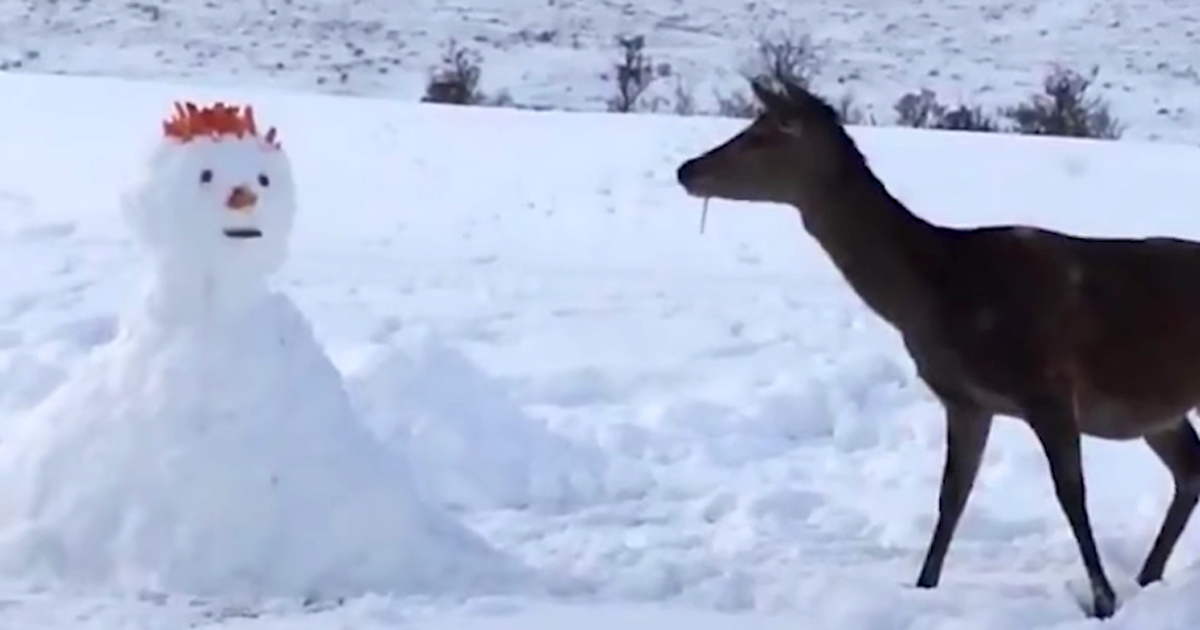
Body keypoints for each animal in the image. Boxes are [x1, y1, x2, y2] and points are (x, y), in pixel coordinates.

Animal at [675, 77, 1200, 620]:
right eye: (750, 126)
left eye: (764, 134)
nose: (686, 169)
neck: (938, 292)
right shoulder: (964, 399)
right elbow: (952, 496)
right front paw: (923, 586)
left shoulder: (1047, 383)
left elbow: (1070, 493)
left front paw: (1103, 600)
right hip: (1157, 408)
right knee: (1190, 469)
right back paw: (1148, 576)